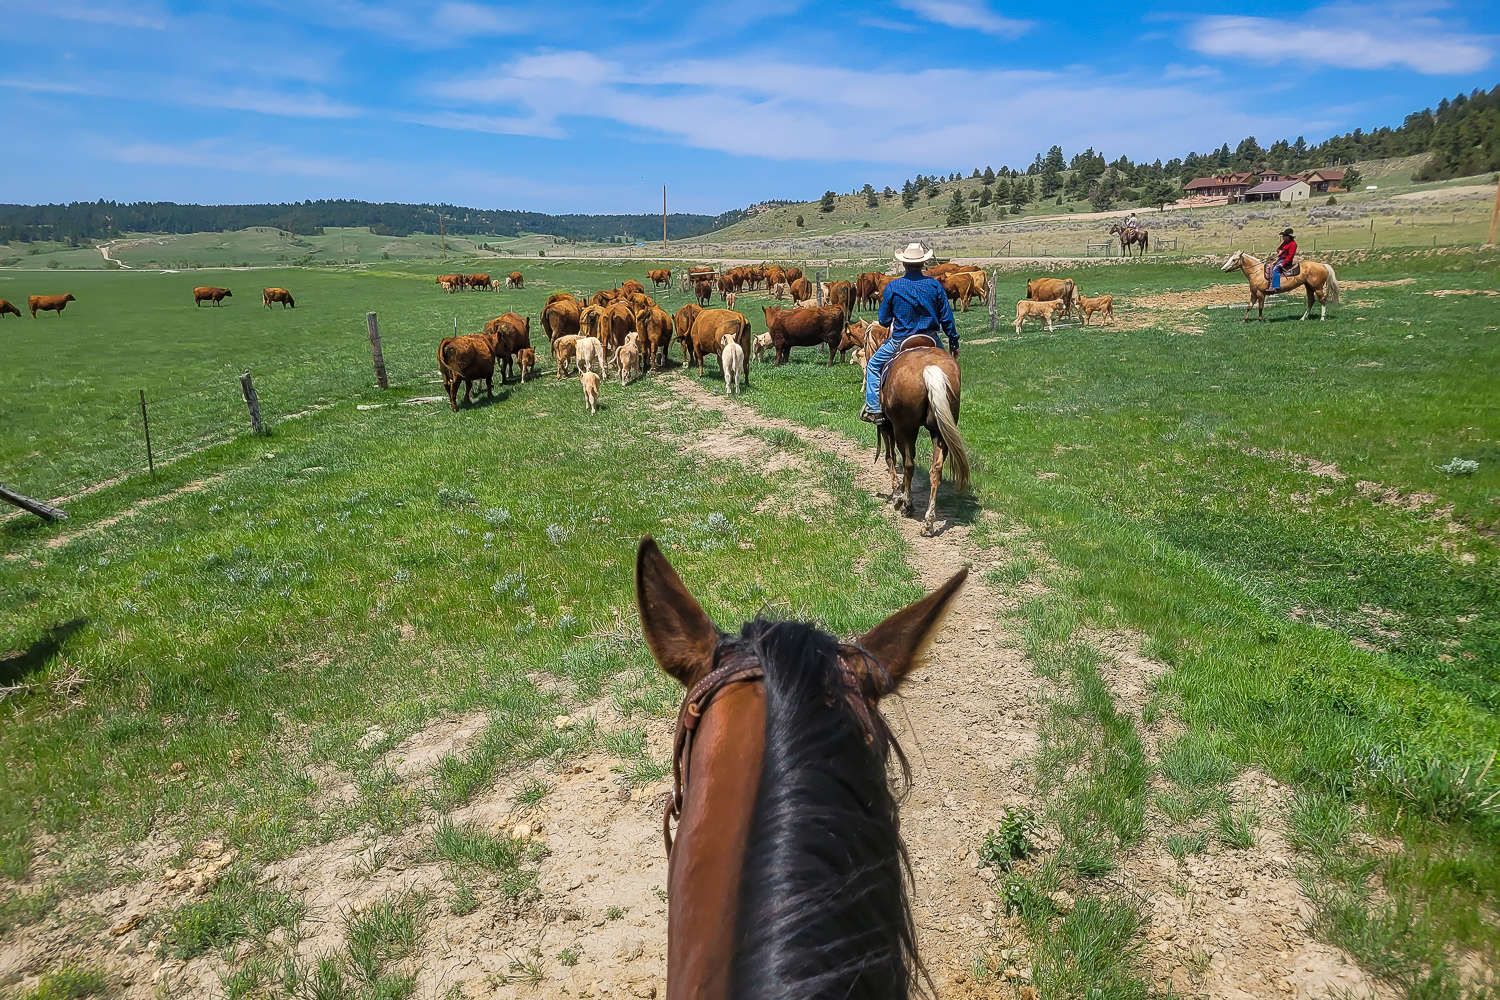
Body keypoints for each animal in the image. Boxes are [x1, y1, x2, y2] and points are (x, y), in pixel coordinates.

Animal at [875, 337, 971, 534]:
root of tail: (929, 368)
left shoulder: (887, 426)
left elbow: (890, 458)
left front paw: (897, 495)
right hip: (940, 431)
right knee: (936, 469)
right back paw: (929, 521)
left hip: (905, 428)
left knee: (909, 464)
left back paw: (907, 505)